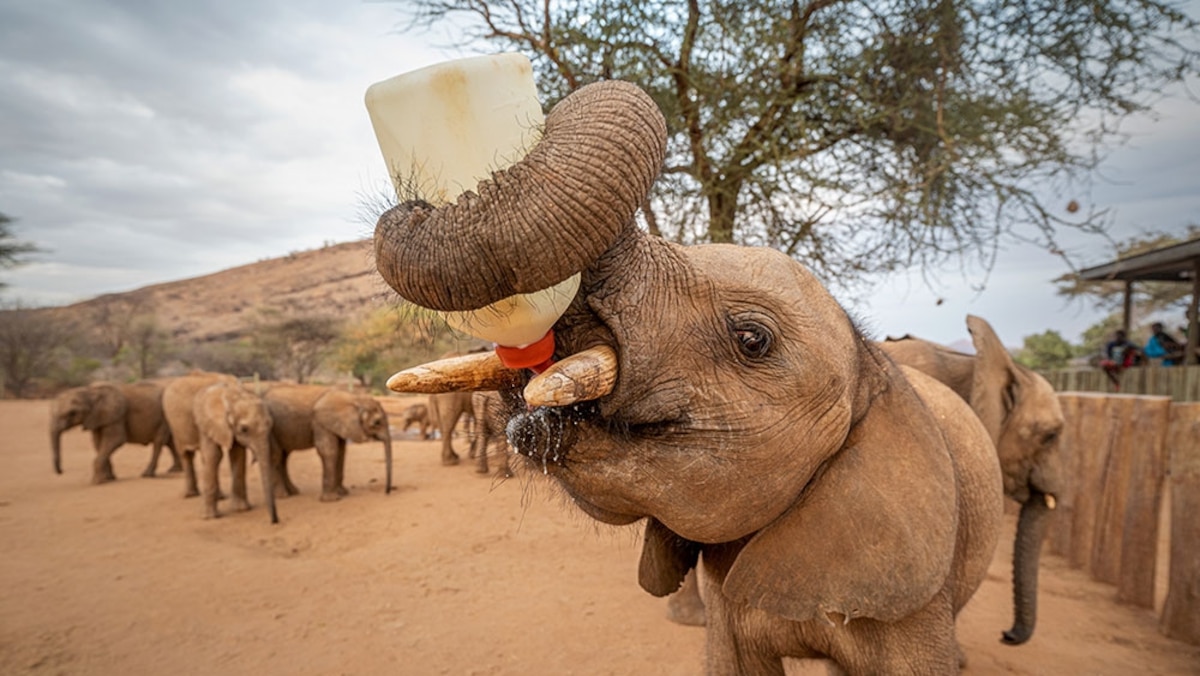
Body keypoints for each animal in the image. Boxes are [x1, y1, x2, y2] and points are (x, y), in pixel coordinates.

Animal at [51, 379, 182, 484]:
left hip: (164, 417)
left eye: (72, 413)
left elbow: (116, 440)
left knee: (159, 442)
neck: (90, 392)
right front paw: (109, 478)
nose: (61, 471)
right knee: (170, 442)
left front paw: (97, 482)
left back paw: (147, 475)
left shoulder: (116, 416)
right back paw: (175, 470)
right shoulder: (97, 418)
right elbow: (98, 443)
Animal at [192, 381, 278, 523]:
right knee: (208, 459)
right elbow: (213, 455)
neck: (233, 398)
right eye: (244, 429)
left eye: (270, 424)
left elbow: (237, 455)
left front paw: (242, 509)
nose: (274, 521)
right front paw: (210, 517)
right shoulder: (209, 423)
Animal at [262, 384, 393, 501]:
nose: (387, 492)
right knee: (276, 455)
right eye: (377, 422)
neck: (354, 398)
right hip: (270, 429)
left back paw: (293, 492)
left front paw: (343, 493)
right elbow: (329, 451)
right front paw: (332, 499)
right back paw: (283, 496)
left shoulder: (337, 424)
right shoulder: (320, 423)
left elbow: (341, 452)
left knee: (284, 457)